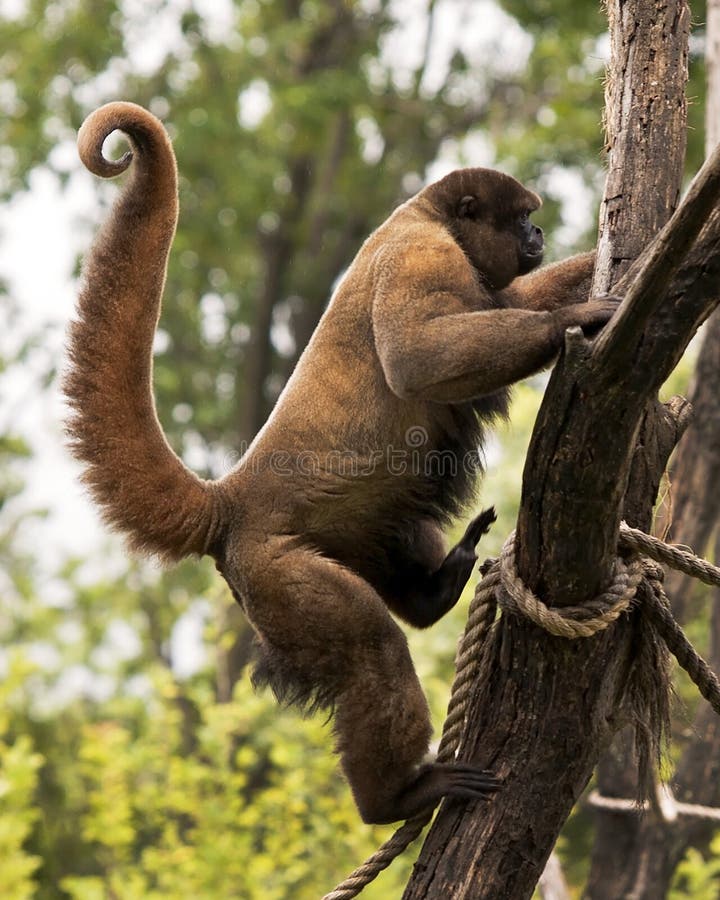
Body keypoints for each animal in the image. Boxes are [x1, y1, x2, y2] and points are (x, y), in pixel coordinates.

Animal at [64, 102, 619, 825]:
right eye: (521, 214)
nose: (540, 230)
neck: (429, 214)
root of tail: (233, 500)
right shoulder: (424, 255)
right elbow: (419, 358)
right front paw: (573, 319)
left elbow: (513, 300)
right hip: (278, 575)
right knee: (372, 649)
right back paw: (396, 796)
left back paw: (433, 593)